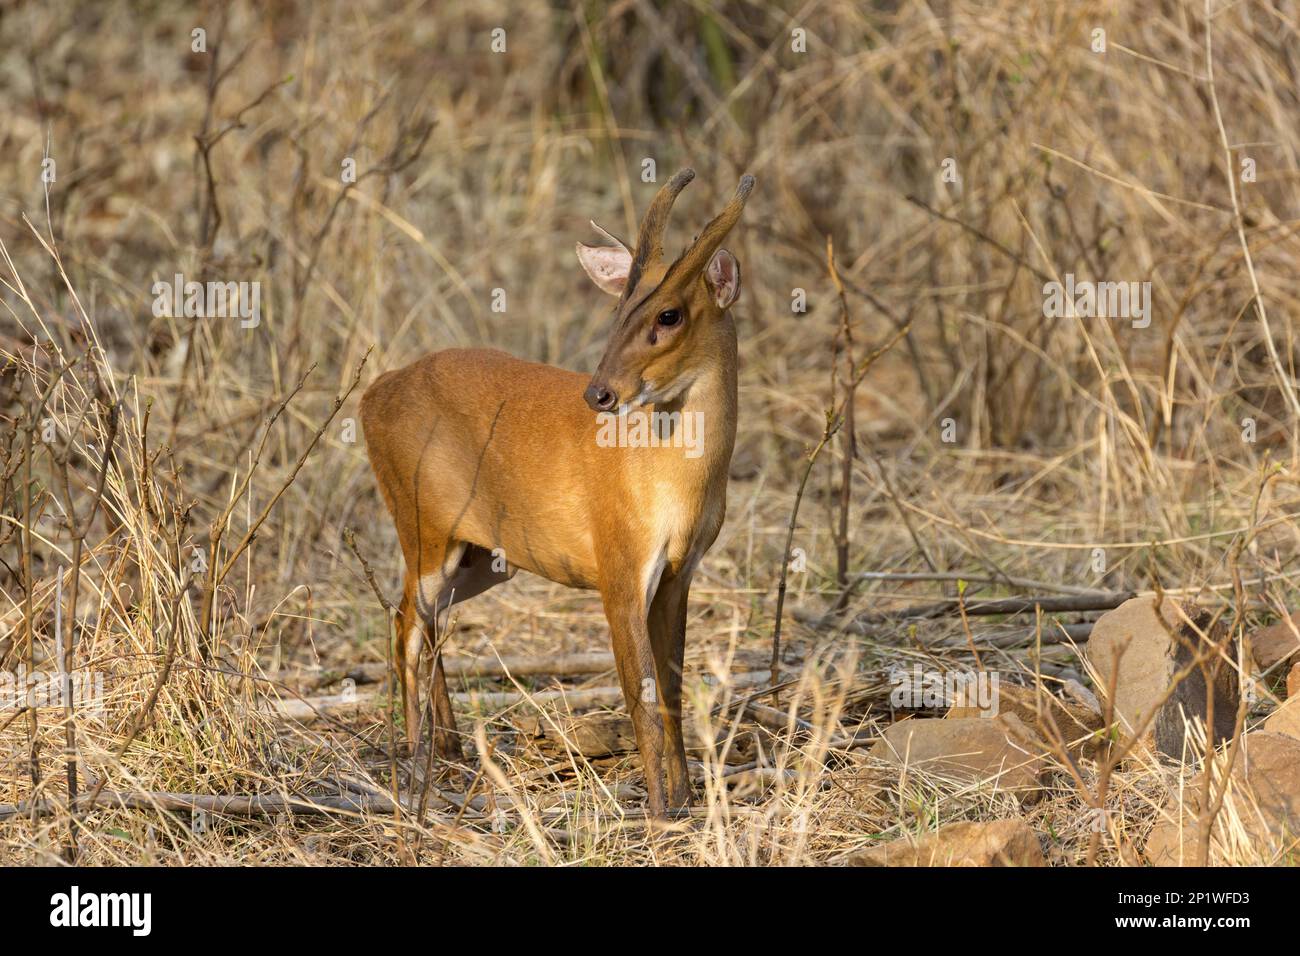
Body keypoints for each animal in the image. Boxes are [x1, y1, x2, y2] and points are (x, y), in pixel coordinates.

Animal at [359, 169, 754, 818]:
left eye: (669, 314)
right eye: (618, 308)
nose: (600, 393)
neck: (672, 480)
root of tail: (375, 392)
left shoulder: (679, 572)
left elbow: (672, 687)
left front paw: (686, 801)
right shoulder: (619, 568)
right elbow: (641, 692)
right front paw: (659, 811)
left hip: (483, 558)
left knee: (425, 620)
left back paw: (450, 749)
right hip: (422, 529)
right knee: (405, 624)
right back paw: (416, 766)